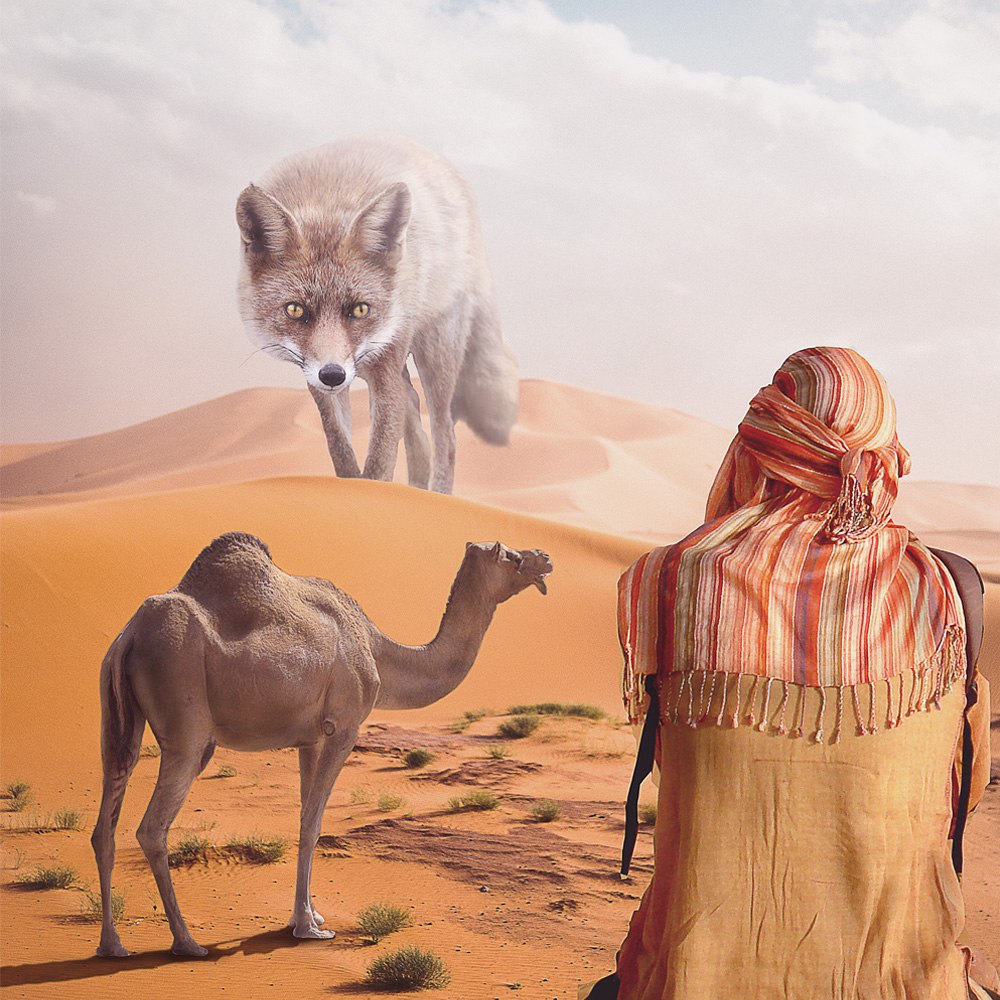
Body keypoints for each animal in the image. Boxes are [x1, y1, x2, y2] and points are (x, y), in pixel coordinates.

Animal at [235, 135, 518, 494]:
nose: (333, 375)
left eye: (360, 309)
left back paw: (438, 495)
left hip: (434, 356)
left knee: (445, 436)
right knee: (415, 418)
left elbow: (380, 463)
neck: (328, 197)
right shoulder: (316, 377)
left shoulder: (385, 369)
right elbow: (341, 452)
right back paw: (416, 488)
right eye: (295, 310)